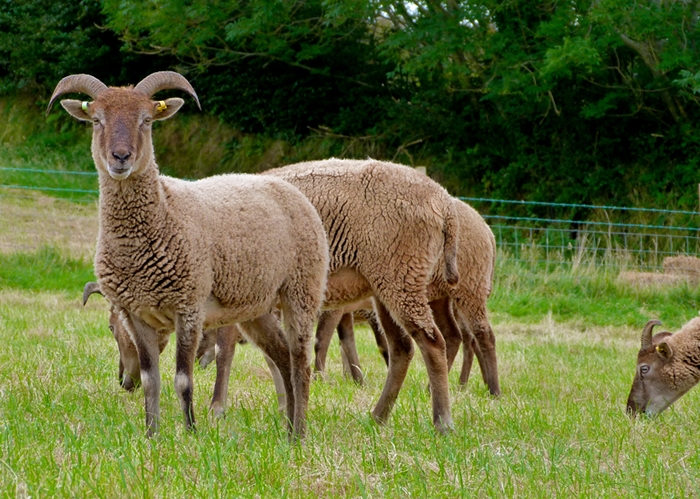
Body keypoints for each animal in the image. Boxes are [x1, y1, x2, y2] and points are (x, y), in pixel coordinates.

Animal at [48, 72, 328, 438]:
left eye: (147, 120)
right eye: (97, 120)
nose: (120, 157)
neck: (165, 211)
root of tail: (288, 187)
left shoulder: (189, 307)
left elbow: (183, 379)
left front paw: (192, 432)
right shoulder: (135, 313)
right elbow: (151, 380)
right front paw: (151, 434)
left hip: (302, 290)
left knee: (300, 364)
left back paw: (300, 435)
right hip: (258, 306)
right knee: (281, 356)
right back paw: (289, 429)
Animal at [264, 158, 460, 432]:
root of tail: (443, 202)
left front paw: (283, 413)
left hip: (402, 275)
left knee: (432, 343)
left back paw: (442, 421)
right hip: (388, 285)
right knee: (402, 349)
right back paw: (378, 417)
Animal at [312, 198, 499, 394]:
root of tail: (487, 230)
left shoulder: (338, 309)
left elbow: (322, 341)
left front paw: (321, 379)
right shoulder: (346, 310)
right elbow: (347, 343)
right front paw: (356, 380)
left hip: (469, 288)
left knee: (481, 334)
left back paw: (490, 389)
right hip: (441, 297)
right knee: (456, 336)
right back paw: (443, 386)